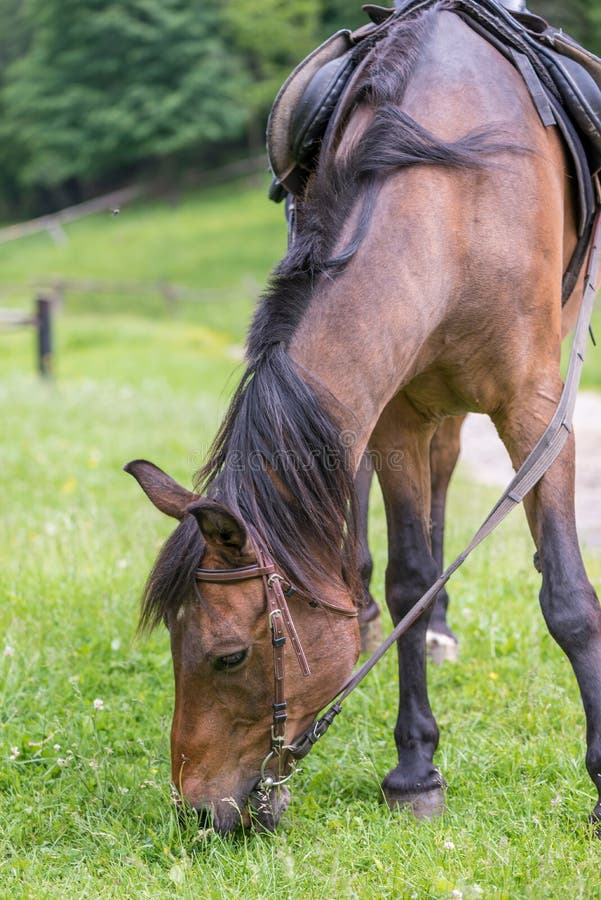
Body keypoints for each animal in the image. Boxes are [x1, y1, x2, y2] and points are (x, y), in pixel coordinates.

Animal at [125, 4, 601, 834]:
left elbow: (568, 597)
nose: (197, 811)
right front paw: (414, 769)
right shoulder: (398, 417)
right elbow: (409, 578)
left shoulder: (534, 407)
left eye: (228, 656)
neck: (455, 205)